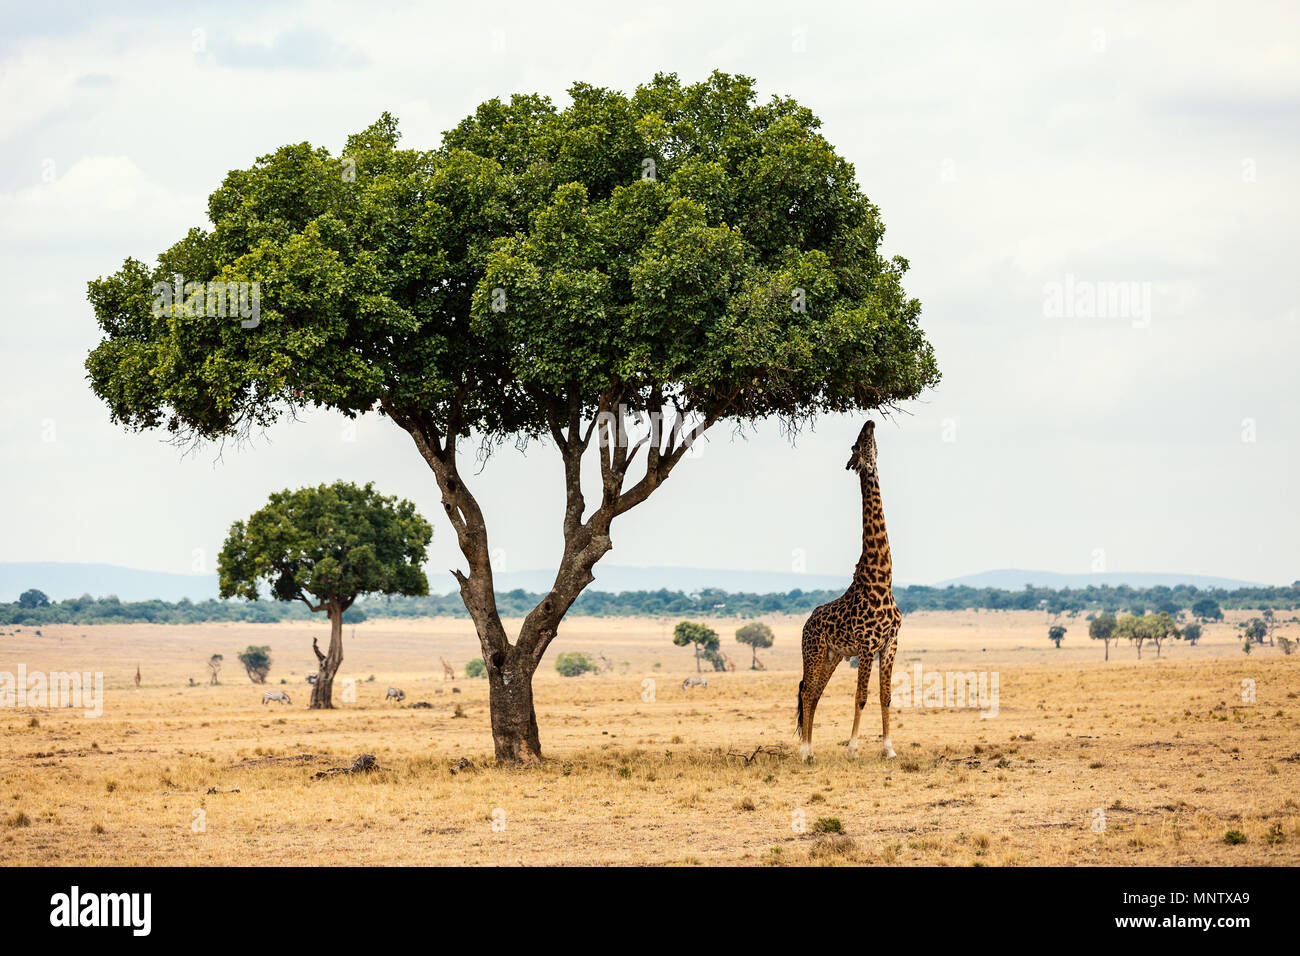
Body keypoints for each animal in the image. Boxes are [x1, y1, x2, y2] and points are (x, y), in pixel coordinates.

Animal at [796, 420, 902, 762]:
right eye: (856, 445)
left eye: (867, 440)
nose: (869, 422)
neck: (881, 580)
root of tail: (807, 623)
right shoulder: (867, 645)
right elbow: (861, 696)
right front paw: (854, 749)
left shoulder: (890, 644)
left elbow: (885, 696)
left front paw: (889, 749)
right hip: (814, 651)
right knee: (806, 692)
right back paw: (805, 752)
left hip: (832, 655)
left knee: (815, 693)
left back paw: (811, 750)